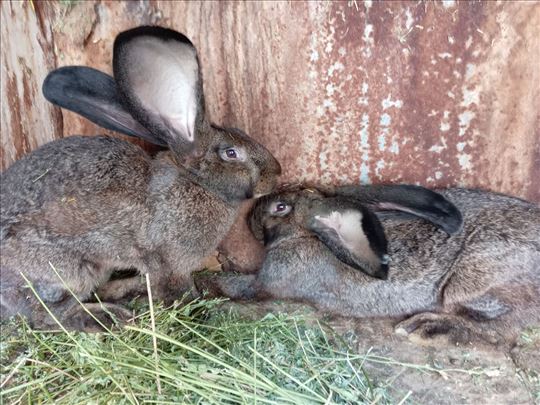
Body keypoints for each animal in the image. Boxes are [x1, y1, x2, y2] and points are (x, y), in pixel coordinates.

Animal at [1, 25, 282, 330]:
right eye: (231, 153)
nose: (276, 173)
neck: (197, 183)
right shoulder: (169, 261)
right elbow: (175, 290)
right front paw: (196, 312)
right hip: (68, 272)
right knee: (43, 316)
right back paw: (106, 317)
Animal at [195, 185, 540, 346]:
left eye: (280, 207)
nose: (251, 218)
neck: (306, 235)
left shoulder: (269, 282)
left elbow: (241, 285)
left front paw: (204, 281)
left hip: (470, 280)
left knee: (505, 327)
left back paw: (424, 327)